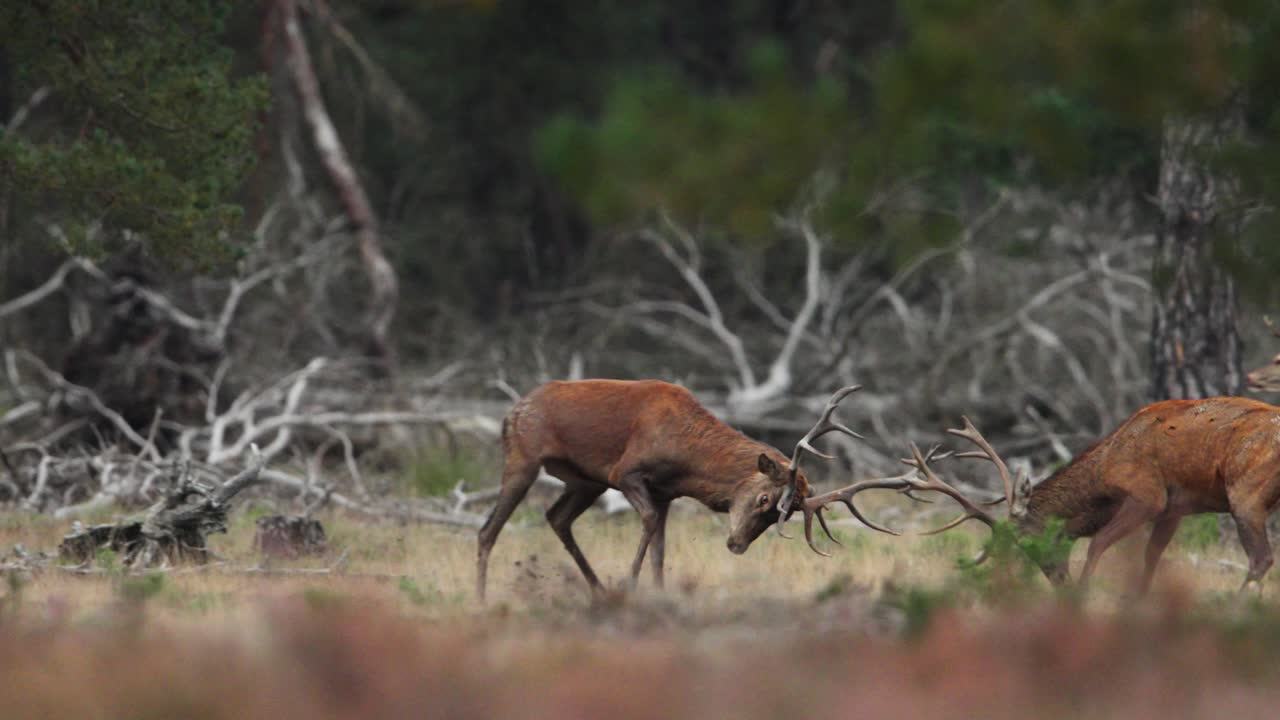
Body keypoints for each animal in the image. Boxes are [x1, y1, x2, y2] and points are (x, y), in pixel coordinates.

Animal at [475, 379, 889, 600]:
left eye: (778, 516)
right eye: (765, 499)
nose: (736, 544)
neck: (688, 463)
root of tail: (511, 413)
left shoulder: (665, 493)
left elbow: (660, 548)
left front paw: (656, 591)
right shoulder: (627, 473)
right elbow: (647, 523)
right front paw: (632, 584)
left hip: (584, 481)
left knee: (556, 517)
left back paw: (598, 589)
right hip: (524, 458)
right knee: (488, 529)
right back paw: (481, 598)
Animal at [813, 398, 1280, 594]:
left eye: (1029, 543)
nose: (1056, 580)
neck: (1104, 471)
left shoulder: (1148, 495)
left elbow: (1097, 545)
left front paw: (1083, 596)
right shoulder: (1175, 508)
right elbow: (1151, 560)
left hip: (1245, 493)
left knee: (1262, 558)